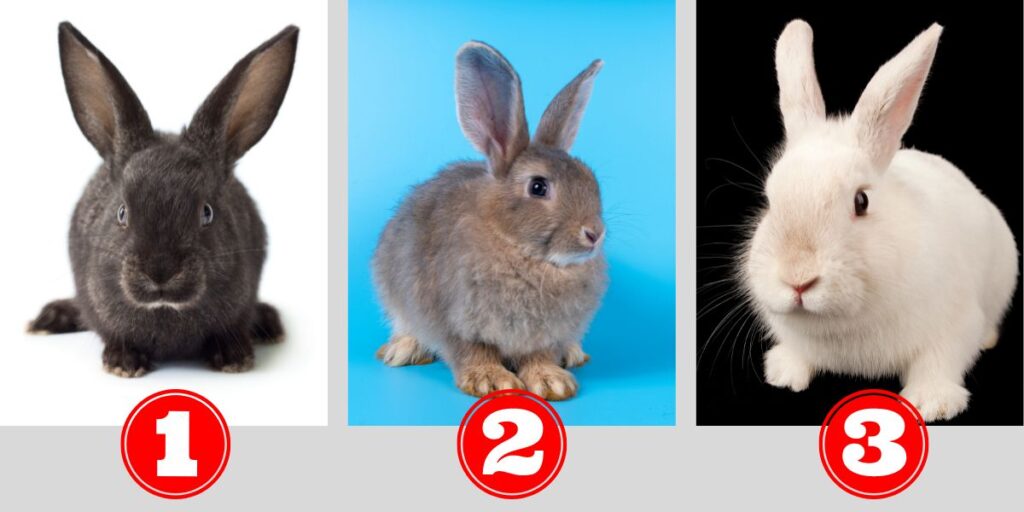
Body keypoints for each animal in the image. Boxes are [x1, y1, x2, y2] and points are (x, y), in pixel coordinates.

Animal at [26, 22, 299, 377]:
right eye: (122, 213)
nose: (160, 271)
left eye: (207, 213)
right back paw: (48, 318)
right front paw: (124, 363)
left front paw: (234, 357)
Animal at [373, 41, 608, 401]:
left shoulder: (543, 333)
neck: (520, 251)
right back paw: (402, 350)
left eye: (590, 179)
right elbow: (471, 351)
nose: (595, 233)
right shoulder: (454, 320)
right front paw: (491, 381)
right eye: (538, 187)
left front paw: (552, 382)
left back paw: (572, 354)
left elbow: (539, 355)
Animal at [743, 19, 1018, 422]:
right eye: (769, 200)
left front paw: (933, 403)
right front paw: (785, 374)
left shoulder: (954, 324)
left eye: (861, 201)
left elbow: (938, 362)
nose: (797, 279)